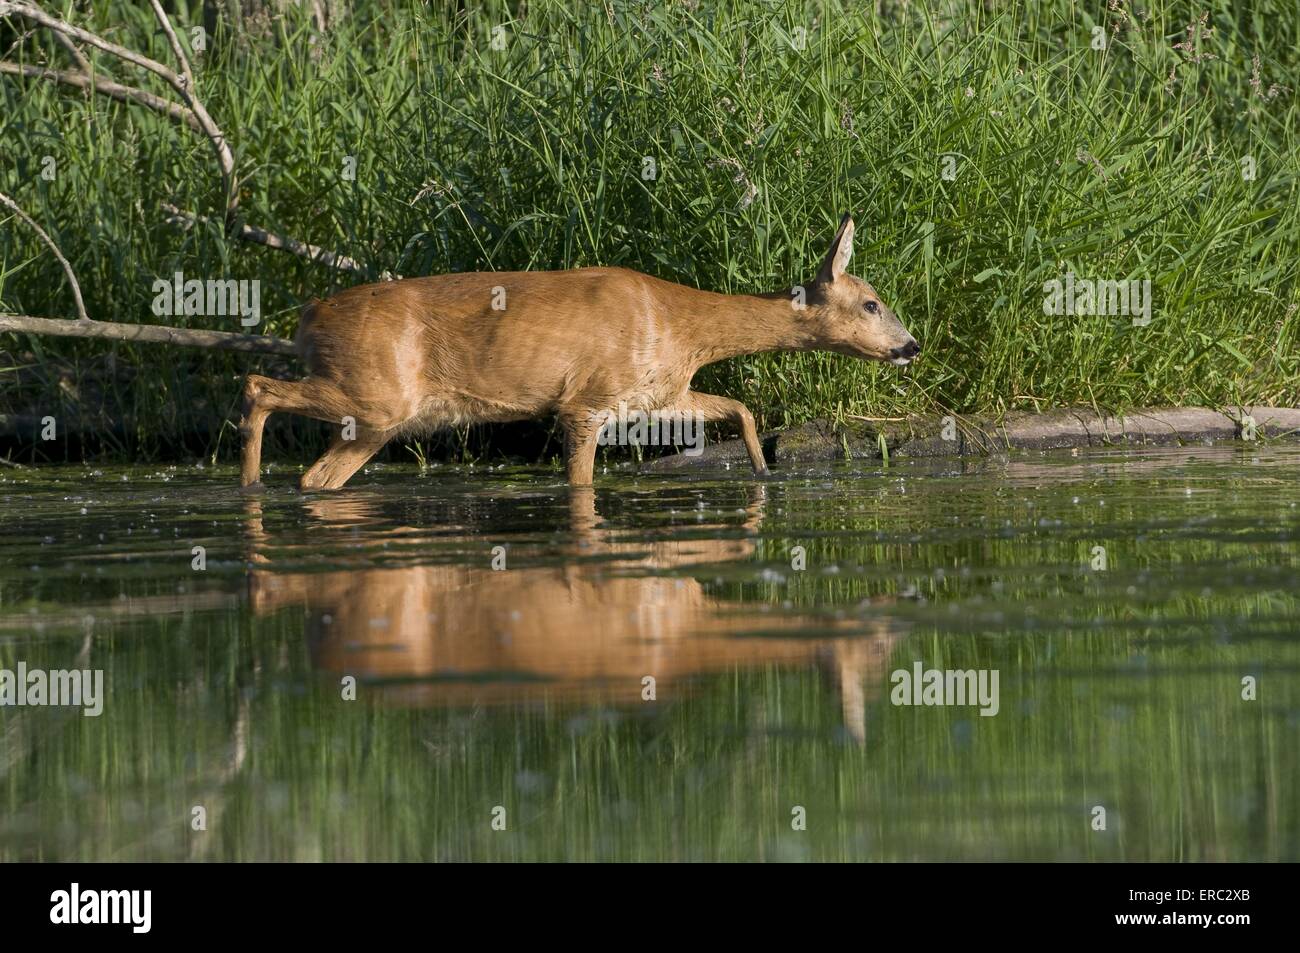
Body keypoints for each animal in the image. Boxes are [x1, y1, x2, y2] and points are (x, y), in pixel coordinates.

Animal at [238, 213, 919, 491]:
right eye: (871, 303)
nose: (911, 346)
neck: (680, 324)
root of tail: (307, 316)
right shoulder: (586, 400)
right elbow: (581, 481)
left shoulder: (656, 394)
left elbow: (740, 409)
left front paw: (760, 474)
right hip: (374, 391)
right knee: (256, 385)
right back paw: (248, 484)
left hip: (379, 418)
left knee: (315, 476)